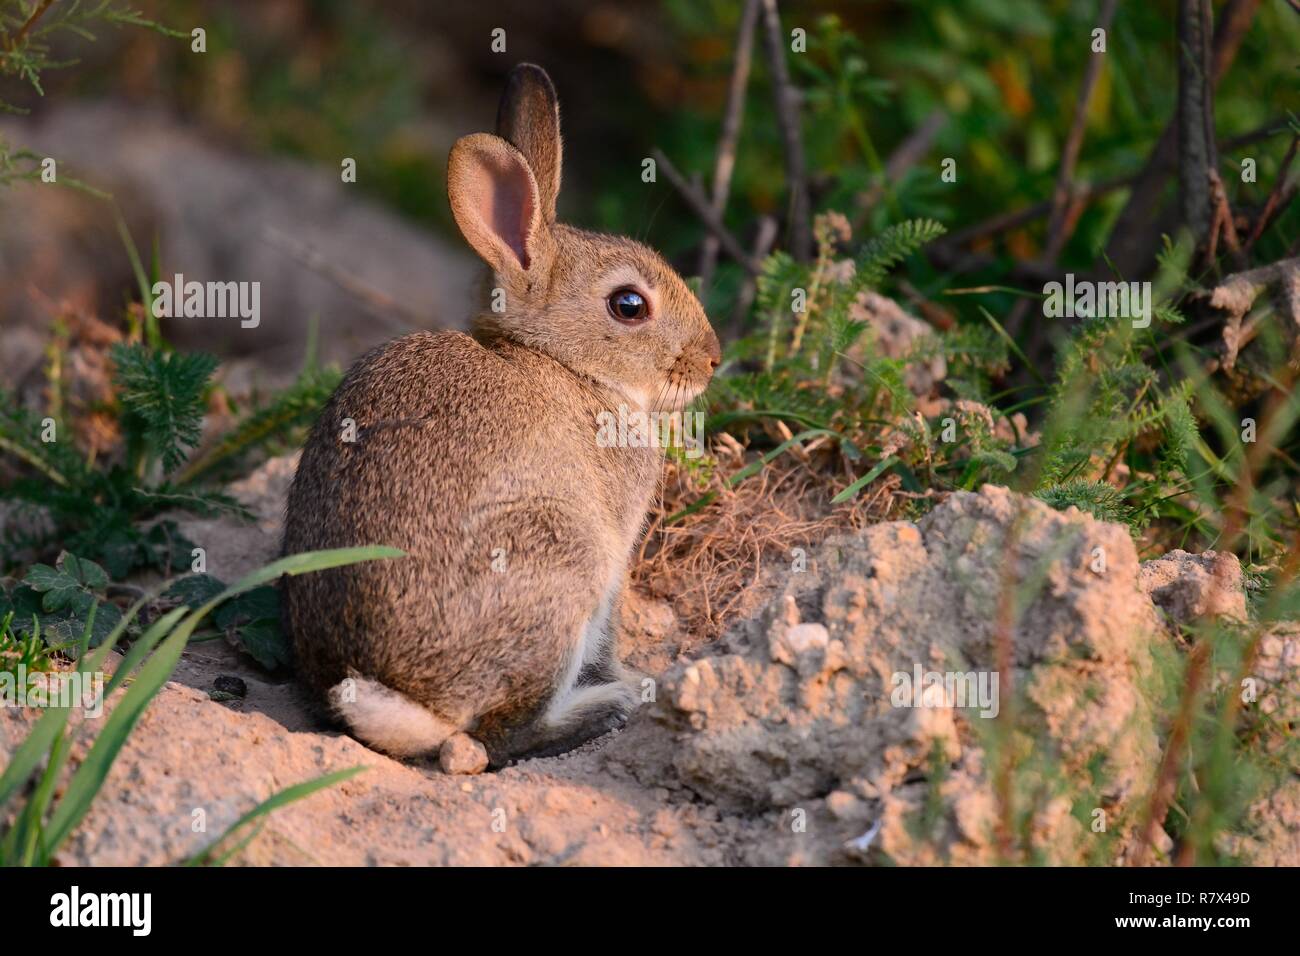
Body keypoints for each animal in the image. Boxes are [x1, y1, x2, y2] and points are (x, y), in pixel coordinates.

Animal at [281, 63, 721, 769]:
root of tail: (409, 701)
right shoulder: (612, 551)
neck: (562, 361)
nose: (712, 358)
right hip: (559, 562)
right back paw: (609, 705)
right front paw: (625, 674)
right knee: (498, 735)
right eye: (629, 305)